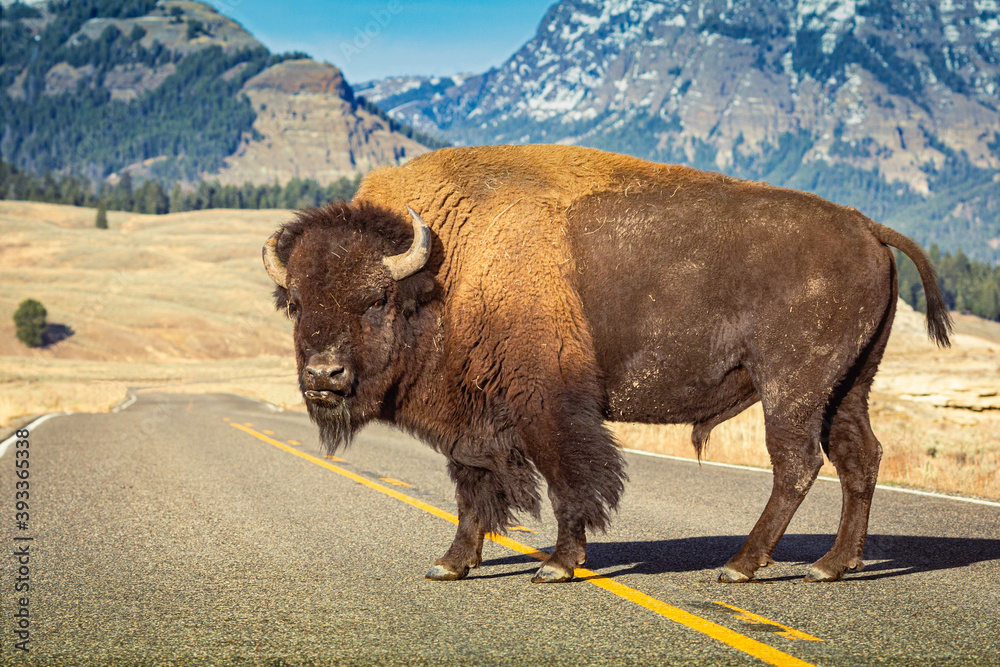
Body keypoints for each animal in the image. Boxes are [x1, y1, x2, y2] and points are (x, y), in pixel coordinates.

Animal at [262, 145, 951, 584]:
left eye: (376, 298)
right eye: (295, 302)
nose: (323, 376)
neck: (449, 265)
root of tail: (868, 226)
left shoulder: (548, 408)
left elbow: (569, 481)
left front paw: (556, 565)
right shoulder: (473, 421)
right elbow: (472, 489)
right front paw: (451, 564)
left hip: (793, 388)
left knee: (798, 463)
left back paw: (741, 567)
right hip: (847, 387)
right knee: (859, 458)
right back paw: (832, 566)